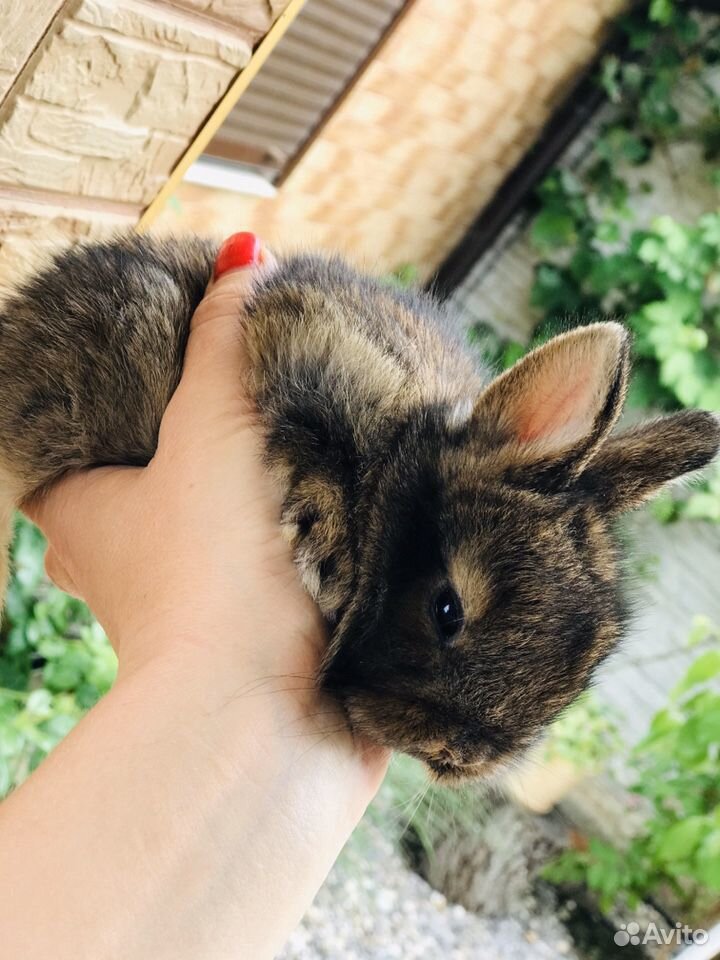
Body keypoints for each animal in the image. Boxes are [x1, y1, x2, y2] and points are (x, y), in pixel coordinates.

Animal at [0, 233, 717, 783]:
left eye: (589, 669)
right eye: (447, 610)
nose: (457, 757)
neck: (397, 451)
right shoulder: (301, 341)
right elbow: (320, 446)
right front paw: (327, 547)